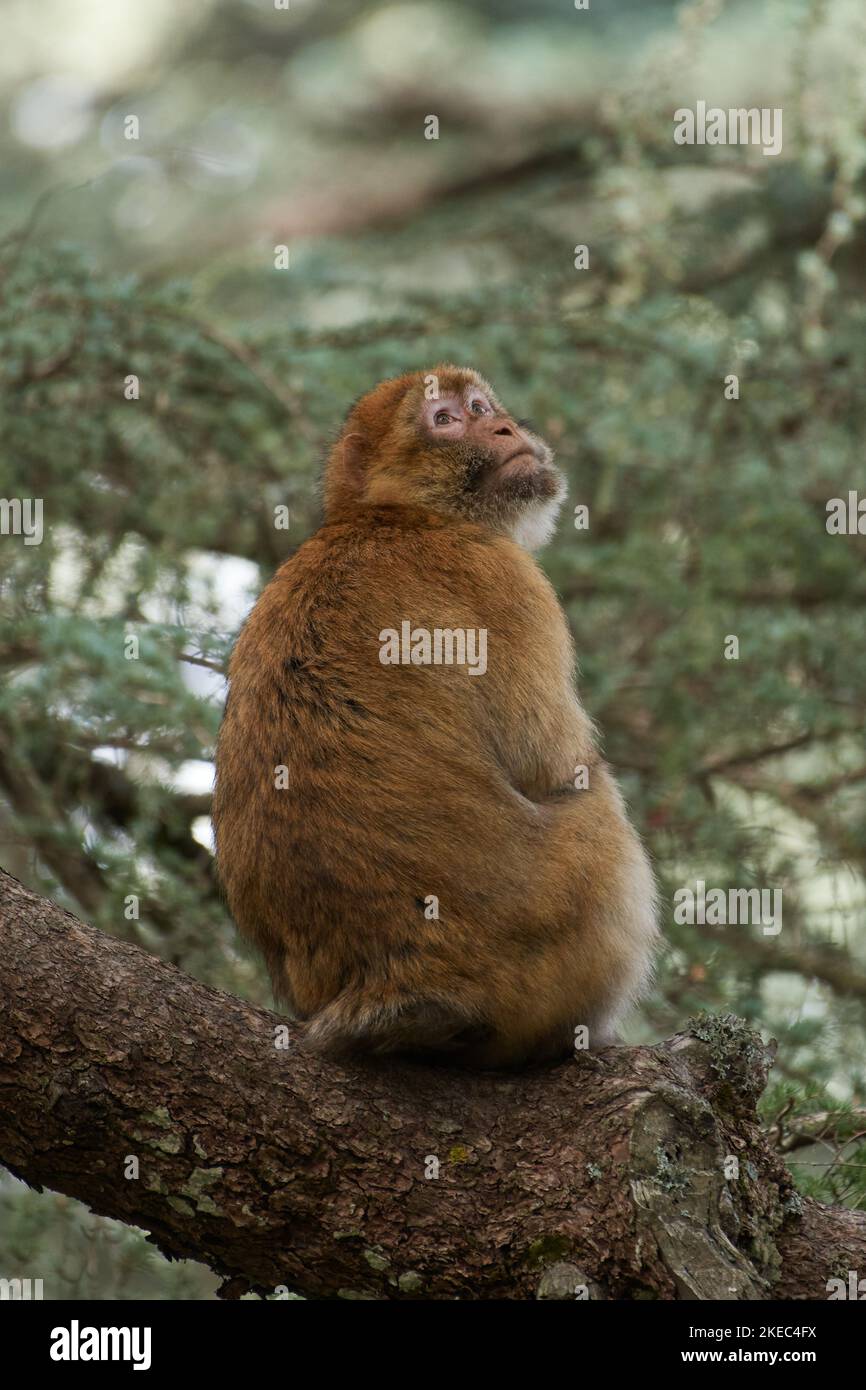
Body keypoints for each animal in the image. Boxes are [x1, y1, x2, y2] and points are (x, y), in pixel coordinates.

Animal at [212, 365, 659, 1067]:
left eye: (478, 406)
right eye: (445, 420)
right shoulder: (509, 582)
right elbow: (557, 768)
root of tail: (390, 981)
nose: (502, 427)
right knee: (595, 808)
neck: (398, 512)